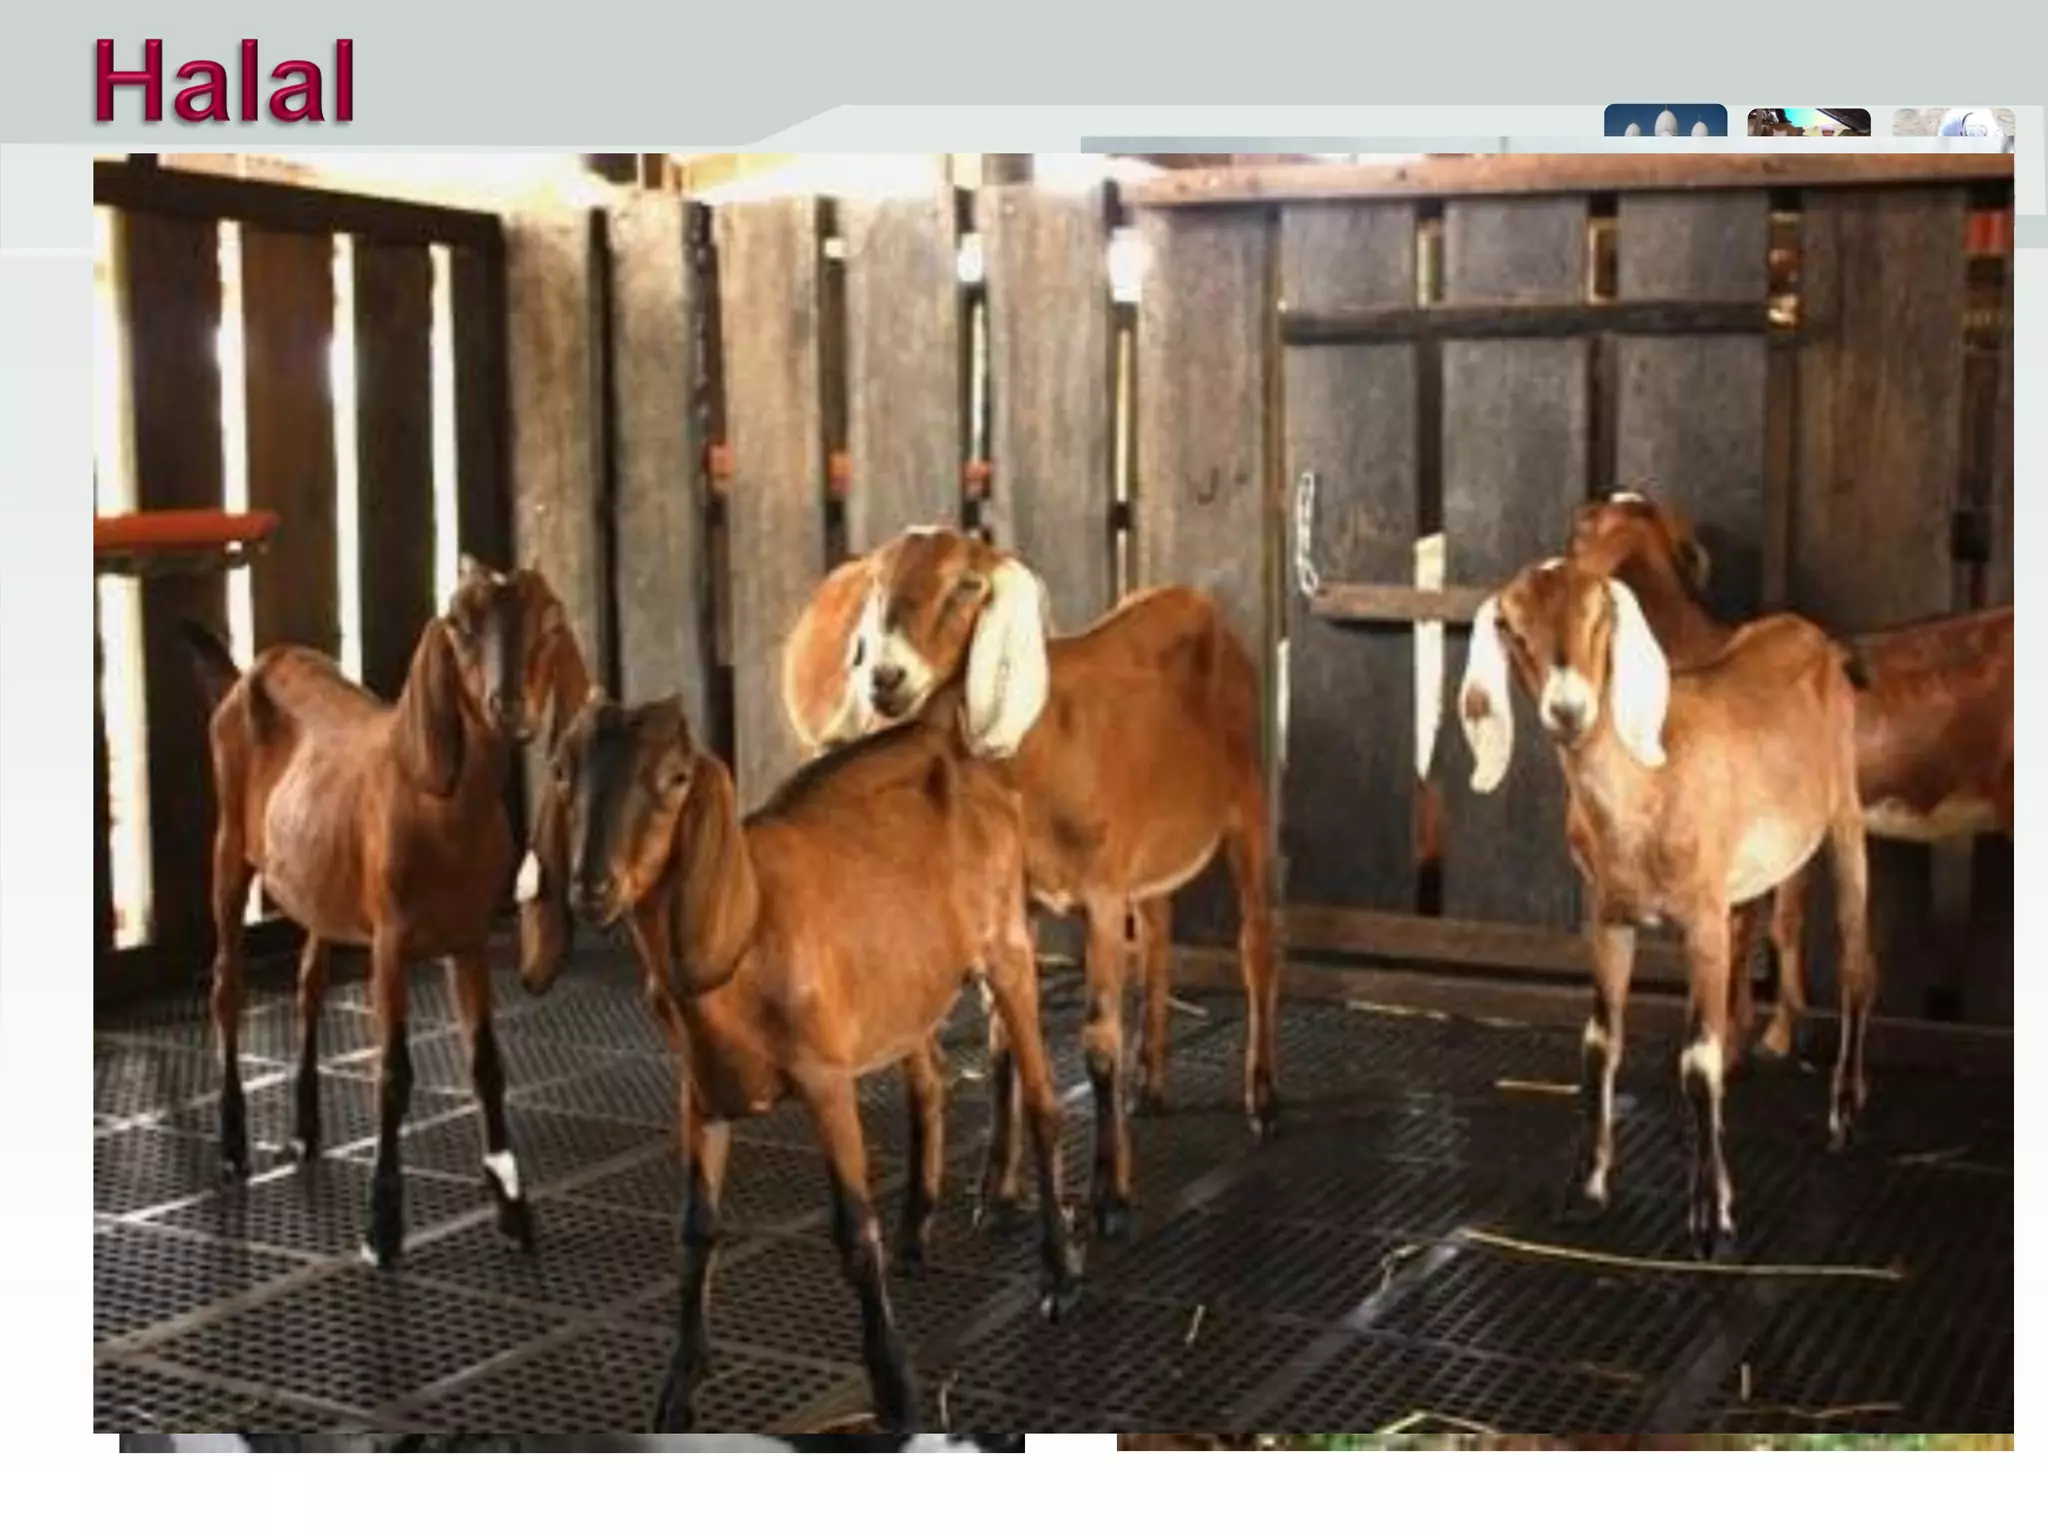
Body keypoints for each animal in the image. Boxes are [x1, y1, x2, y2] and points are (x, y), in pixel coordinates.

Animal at [181, 556, 588, 1265]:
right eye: (458, 623)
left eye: (548, 618)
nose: (509, 707)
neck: (442, 812)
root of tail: (253, 668)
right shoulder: (392, 942)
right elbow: (394, 1070)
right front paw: (382, 1225)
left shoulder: (469, 936)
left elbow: (487, 1064)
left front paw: (512, 1208)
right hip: (229, 847)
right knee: (227, 986)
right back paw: (232, 1147)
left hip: (317, 884)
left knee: (309, 985)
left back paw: (306, 1130)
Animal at [515, 687, 1082, 1433]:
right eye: (560, 772)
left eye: (675, 779)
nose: (592, 888)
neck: (752, 931)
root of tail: (943, 737)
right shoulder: (700, 1090)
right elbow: (695, 1231)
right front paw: (678, 1388)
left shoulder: (826, 1080)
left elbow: (854, 1233)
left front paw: (894, 1390)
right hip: (906, 988)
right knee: (928, 1086)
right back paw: (916, 1235)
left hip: (1009, 949)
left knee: (1044, 1102)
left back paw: (1059, 1275)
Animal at [780, 526, 1279, 1242]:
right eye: (879, 584)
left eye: (967, 585)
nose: (885, 677)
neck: (1045, 746)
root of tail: (1196, 603)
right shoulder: (1019, 904)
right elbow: (1002, 1047)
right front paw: (997, 1188)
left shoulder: (1100, 897)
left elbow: (1097, 1041)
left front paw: (1109, 1195)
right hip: (1152, 849)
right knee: (1159, 936)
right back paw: (1151, 1083)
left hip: (1248, 806)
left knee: (1257, 942)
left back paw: (1261, 1096)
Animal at [1458, 556, 1874, 1257]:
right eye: (1510, 627)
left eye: (1599, 614)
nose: (1567, 709)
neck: (1646, 789)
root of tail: (1809, 634)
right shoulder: (1609, 918)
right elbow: (1600, 1043)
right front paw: (1587, 1189)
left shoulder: (1702, 919)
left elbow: (1696, 1061)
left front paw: (1712, 1218)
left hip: (1844, 812)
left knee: (1854, 962)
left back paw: (1844, 1111)